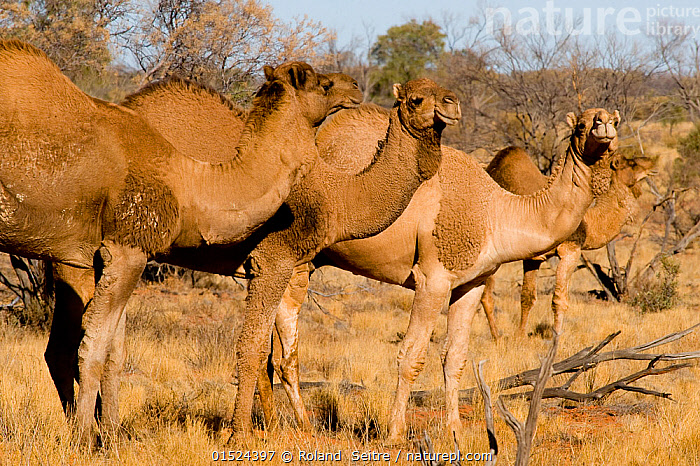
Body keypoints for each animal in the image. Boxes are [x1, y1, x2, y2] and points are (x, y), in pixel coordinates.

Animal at [0, 39, 360, 440]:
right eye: (324, 84)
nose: (355, 86)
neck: (187, 179)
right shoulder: (129, 246)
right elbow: (93, 346)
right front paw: (83, 439)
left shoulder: (106, 254)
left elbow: (113, 351)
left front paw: (109, 436)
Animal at [41, 77, 461, 438]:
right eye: (416, 99)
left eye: (440, 90)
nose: (452, 104)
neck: (335, 193)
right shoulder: (274, 258)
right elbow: (255, 349)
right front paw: (240, 431)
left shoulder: (276, 267)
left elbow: (268, 353)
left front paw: (273, 426)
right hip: (84, 257)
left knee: (67, 348)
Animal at [258, 108, 621, 442]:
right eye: (581, 125)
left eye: (615, 120)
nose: (603, 124)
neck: (495, 214)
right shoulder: (433, 278)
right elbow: (412, 355)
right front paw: (394, 433)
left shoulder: (471, 283)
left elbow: (455, 357)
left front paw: (454, 430)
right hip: (291, 252)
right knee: (281, 339)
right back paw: (301, 425)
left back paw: (272, 424)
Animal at [480, 149, 655, 338]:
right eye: (632, 164)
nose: (651, 163)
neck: (588, 221)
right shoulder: (571, 250)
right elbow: (559, 299)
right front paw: (557, 339)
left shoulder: (533, 259)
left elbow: (527, 297)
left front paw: (520, 337)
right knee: (486, 296)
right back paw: (496, 337)